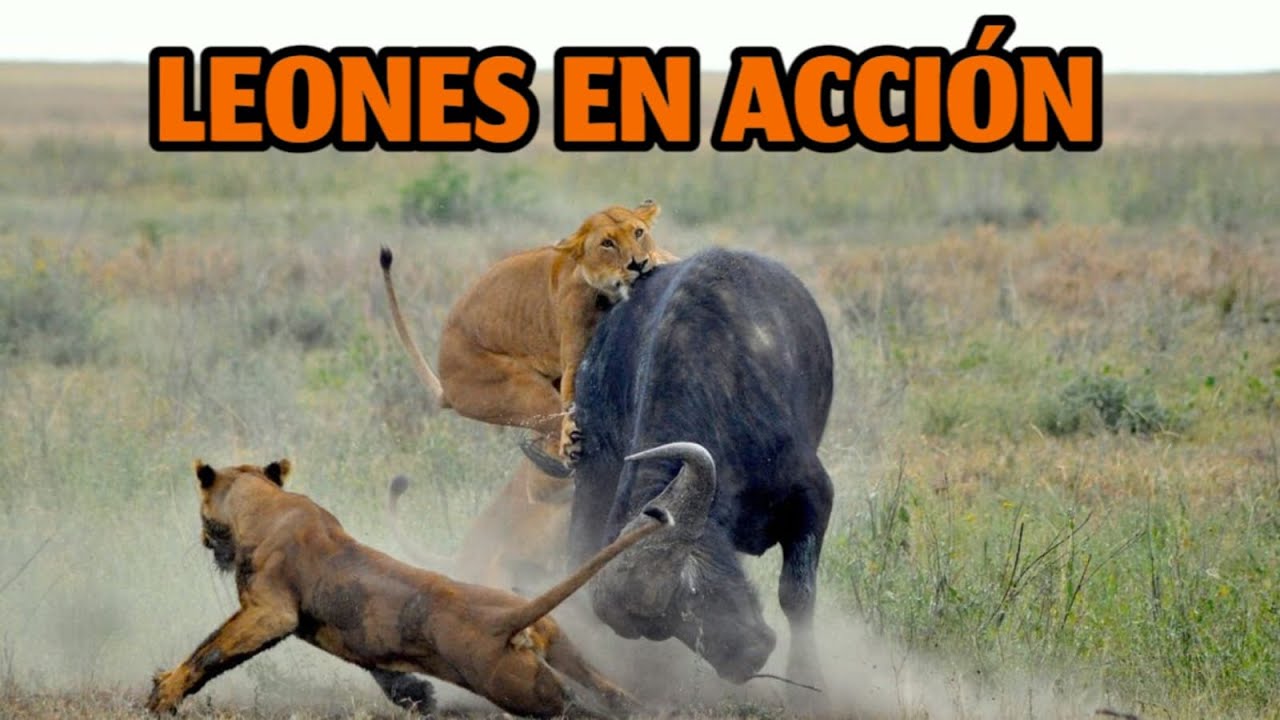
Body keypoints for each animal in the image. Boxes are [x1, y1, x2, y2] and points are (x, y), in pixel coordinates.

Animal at [146, 458, 673, 718]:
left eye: (203, 516)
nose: (203, 539)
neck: (264, 504)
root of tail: (506, 617)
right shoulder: (342, 630)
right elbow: (375, 662)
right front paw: (416, 695)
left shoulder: (270, 611)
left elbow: (211, 650)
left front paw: (164, 693)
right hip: (565, 651)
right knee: (614, 694)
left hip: (525, 691)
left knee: (582, 709)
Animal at [381, 200, 674, 465]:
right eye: (607, 243)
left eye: (638, 233)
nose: (638, 264)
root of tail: (445, 384)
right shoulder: (575, 360)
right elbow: (573, 396)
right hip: (518, 390)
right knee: (553, 424)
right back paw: (566, 448)